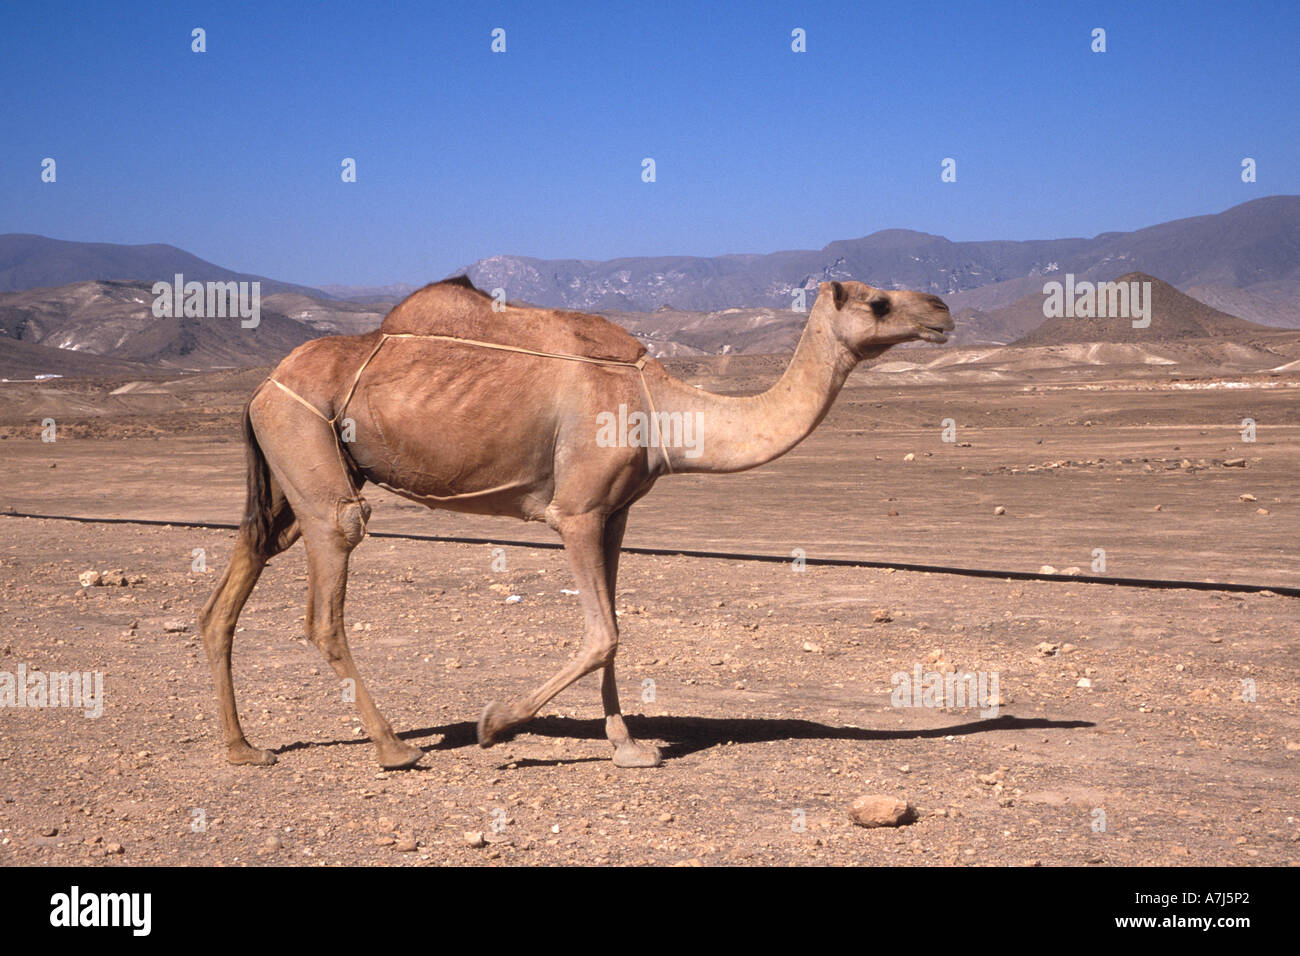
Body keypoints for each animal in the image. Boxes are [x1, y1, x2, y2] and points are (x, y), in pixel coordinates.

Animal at [199, 277, 953, 770]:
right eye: (878, 301)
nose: (943, 310)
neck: (660, 408)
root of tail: (261, 387)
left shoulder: (614, 515)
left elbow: (615, 633)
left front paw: (628, 748)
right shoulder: (578, 511)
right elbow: (602, 634)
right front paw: (494, 726)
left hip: (288, 471)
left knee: (237, 580)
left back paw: (244, 749)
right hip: (309, 450)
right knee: (329, 587)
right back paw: (393, 748)